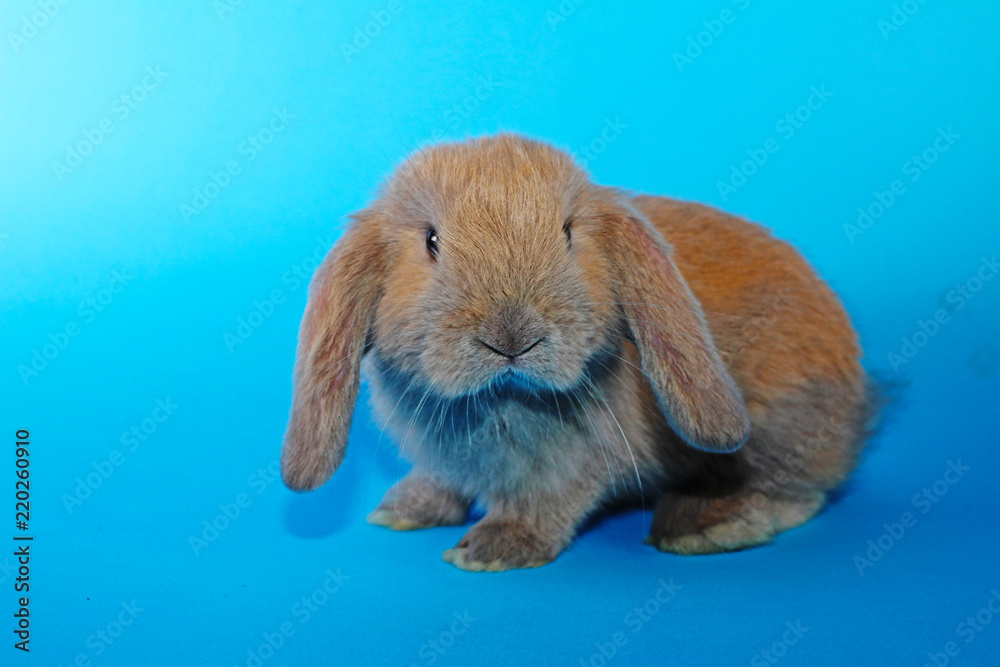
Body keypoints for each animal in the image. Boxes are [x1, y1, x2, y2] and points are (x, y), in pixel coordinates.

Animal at [280, 133, 873, 572]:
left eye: (568, 234)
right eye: (430, 241)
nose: (512, 338)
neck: (501, 400)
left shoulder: (582, 460)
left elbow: (551, 500)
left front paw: (494, 547)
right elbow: (442, 478)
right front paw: (405, 509)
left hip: (782, 426)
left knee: (800, 492)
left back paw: (707, 523)